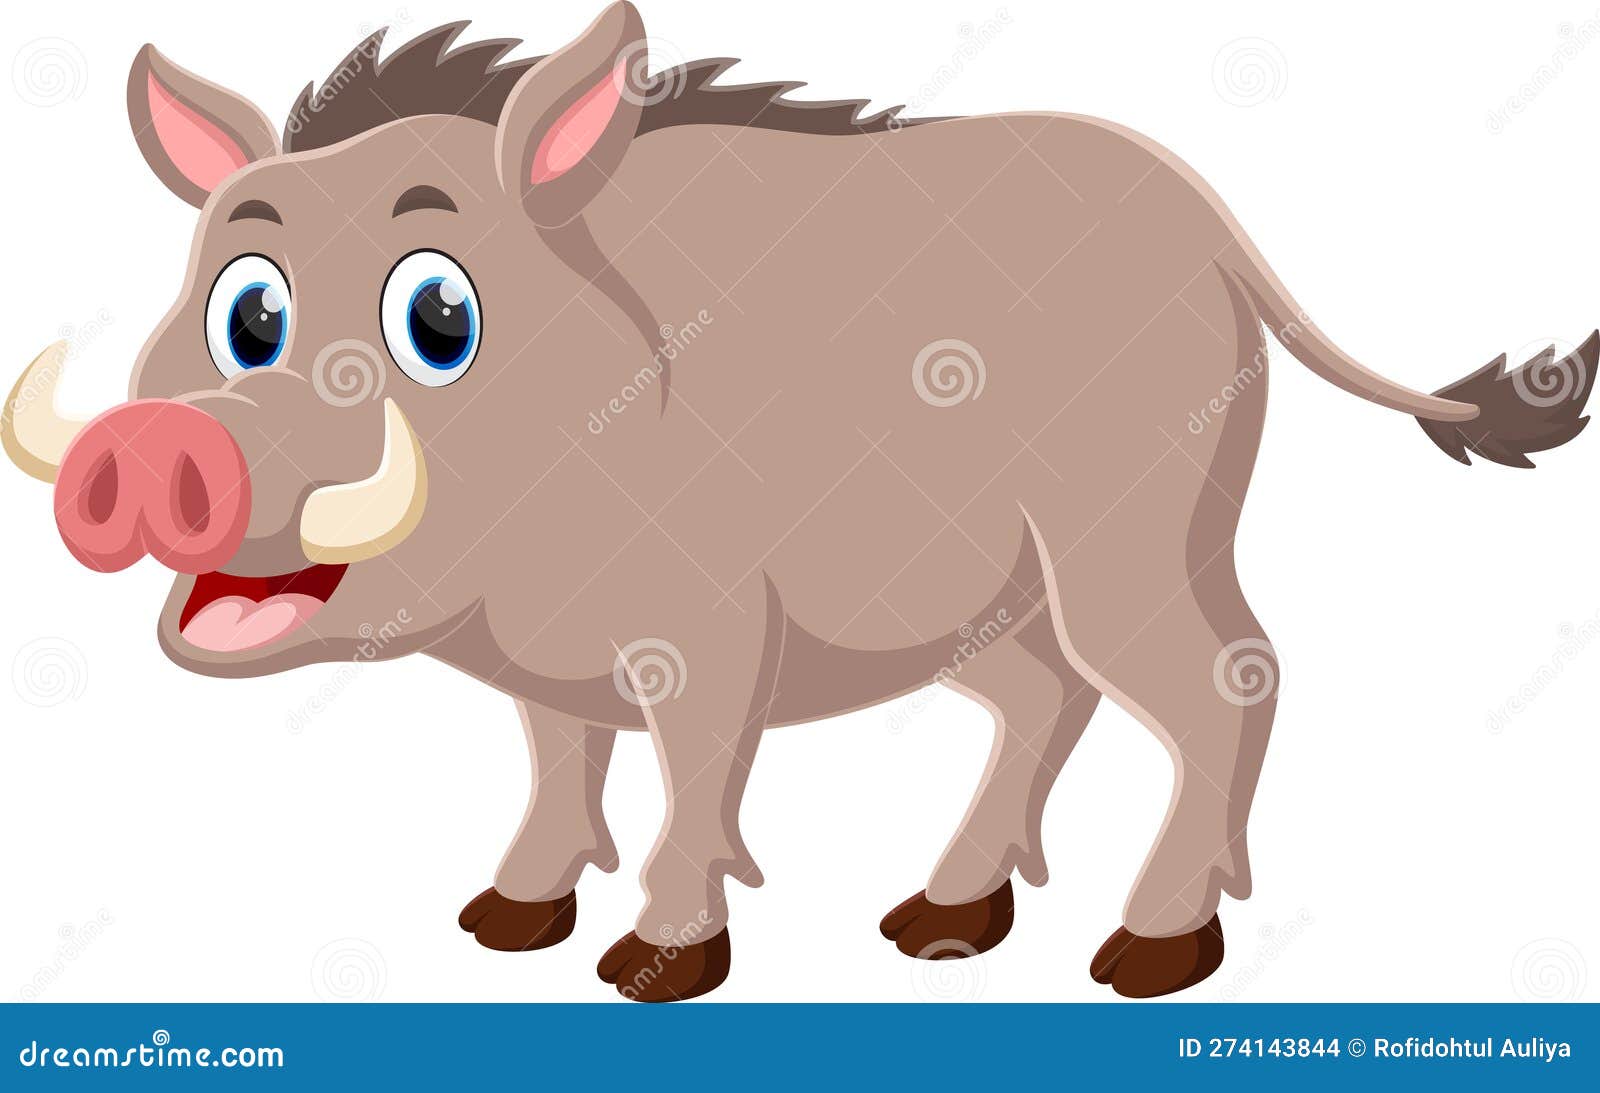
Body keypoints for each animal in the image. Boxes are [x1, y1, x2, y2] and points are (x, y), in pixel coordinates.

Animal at [5, 3, 1594, 1000]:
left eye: (436, 316)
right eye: (247, 314)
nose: (157, 450)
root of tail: (1214, 222)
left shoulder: (711, 633)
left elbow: (696, 783)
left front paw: (648, 974)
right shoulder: (548, 669)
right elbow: (560, 762)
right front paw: (499, 927)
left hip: (1137, 527)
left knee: (1228, 674)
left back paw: (1142, 961)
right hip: (992, 592)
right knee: (1047, 697)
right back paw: (934, 929)